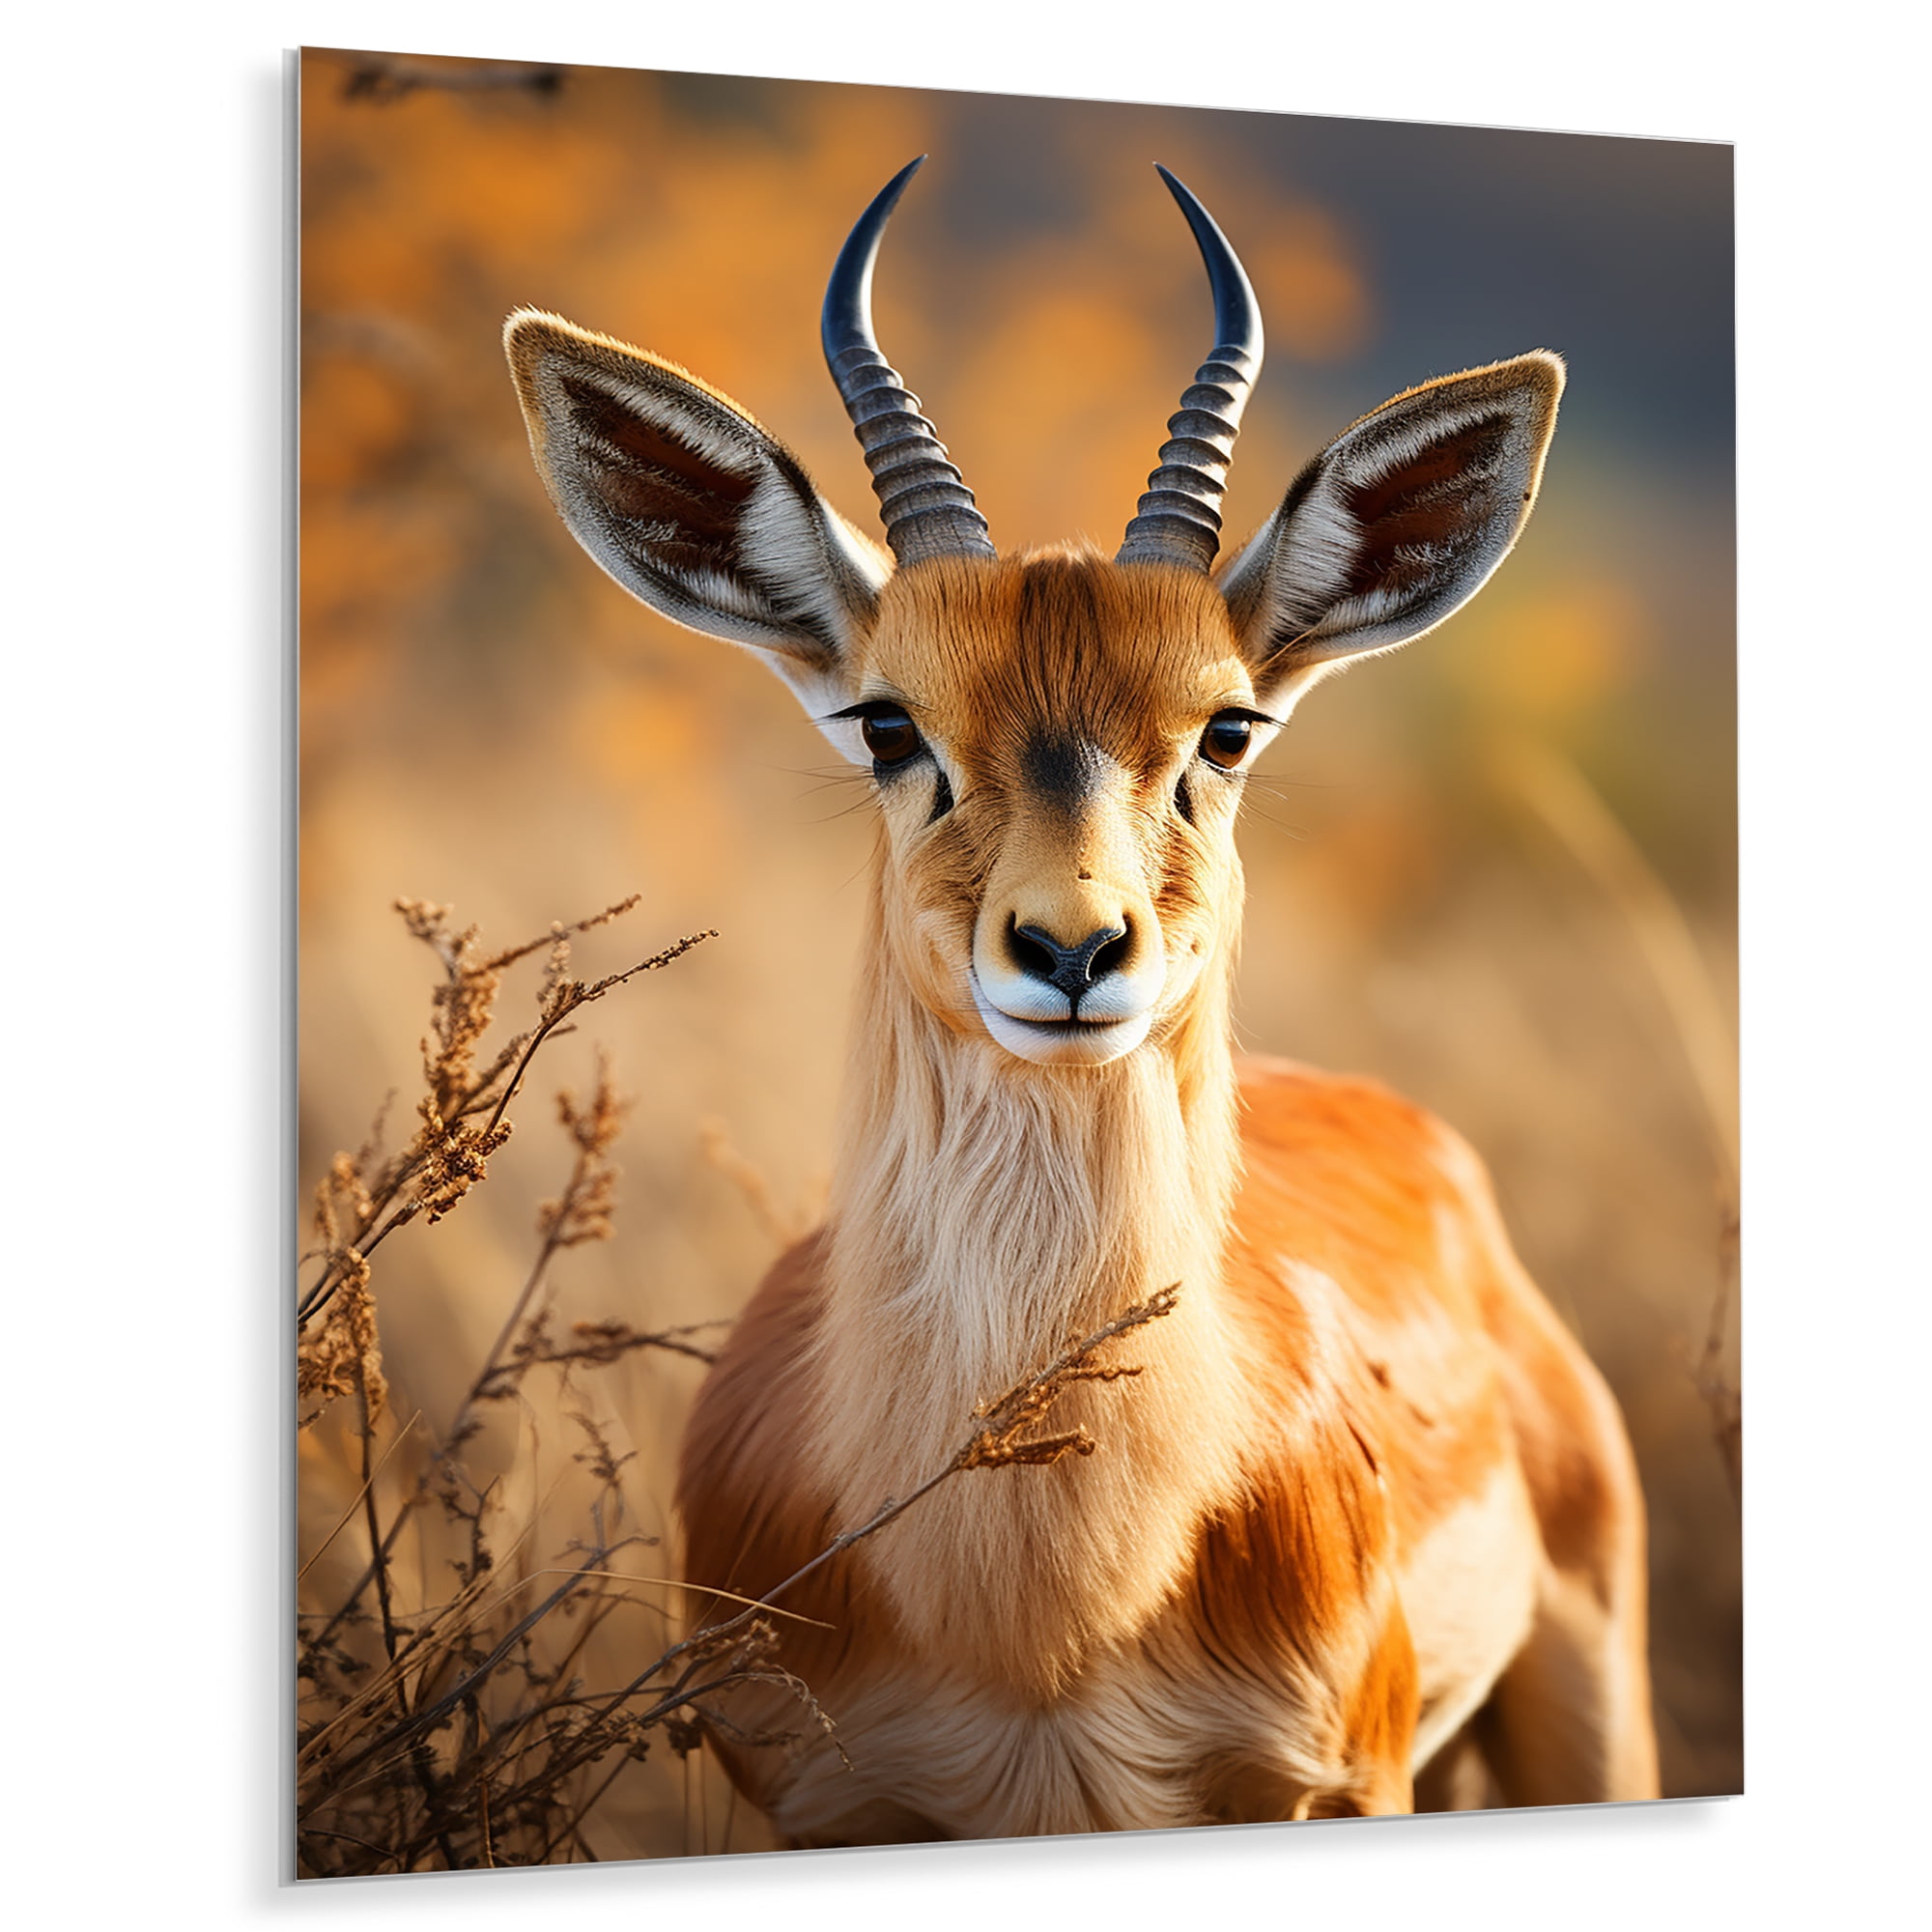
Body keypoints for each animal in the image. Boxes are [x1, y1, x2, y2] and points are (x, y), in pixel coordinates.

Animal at [505, 158, 1659, 1843]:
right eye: (887, 722)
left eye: (1227, 727)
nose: (1069, 950)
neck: (1045, 1618)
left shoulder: (1339, 1787)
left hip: (1586, 1692)